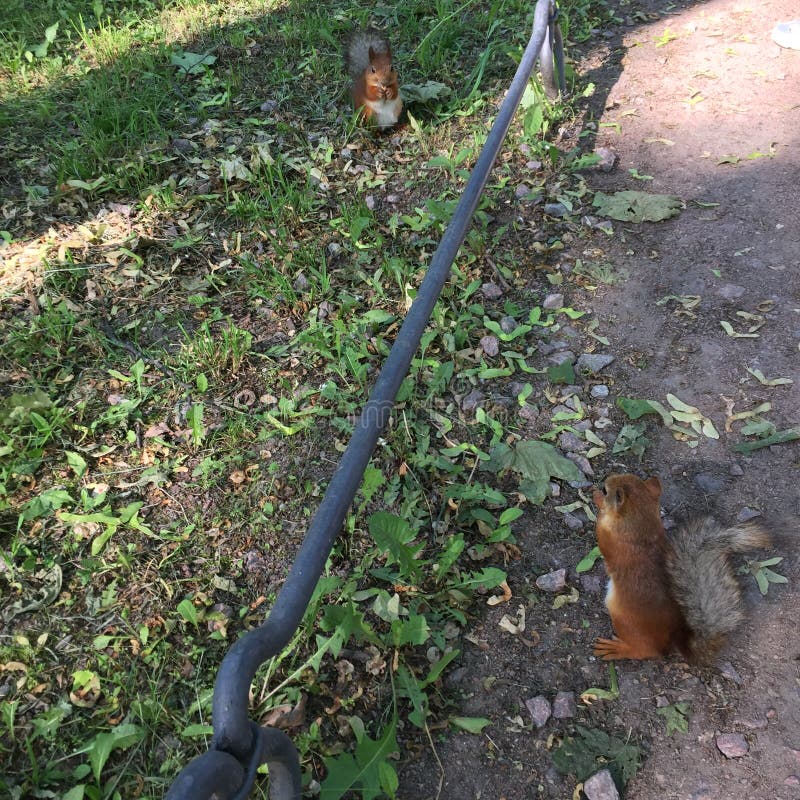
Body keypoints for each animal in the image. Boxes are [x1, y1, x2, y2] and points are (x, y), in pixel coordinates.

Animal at [592, 473, 771, 662]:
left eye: (606, 490)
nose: (606, 479)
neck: (643, 527)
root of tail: (675, 639)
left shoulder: (613, 541)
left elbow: (602, 537)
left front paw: (597, 499)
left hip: (625, 622)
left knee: (644, 651)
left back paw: (619, 649)